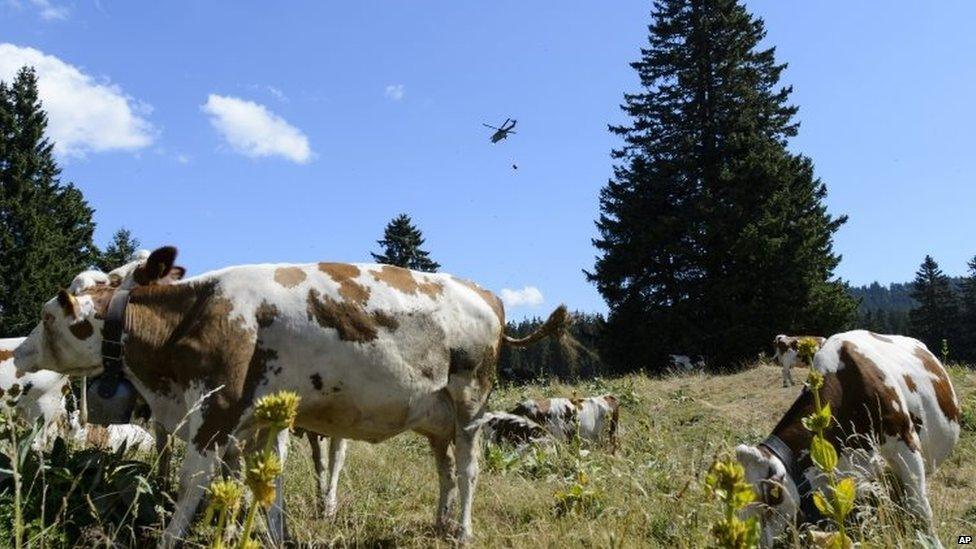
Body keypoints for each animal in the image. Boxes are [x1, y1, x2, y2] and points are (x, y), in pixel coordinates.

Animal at [14, 246, 569, 545]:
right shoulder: (253, 422)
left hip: (471, 401)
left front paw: (174, 539)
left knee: (470, 470)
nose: (17, 353)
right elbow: (261, 486)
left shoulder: (214, 412)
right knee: (446, 470)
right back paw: (439, 523)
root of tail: (484, 292)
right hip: (437, 417)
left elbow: (194, 489)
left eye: (47, 317)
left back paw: (465, 531)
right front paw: (260, 535)